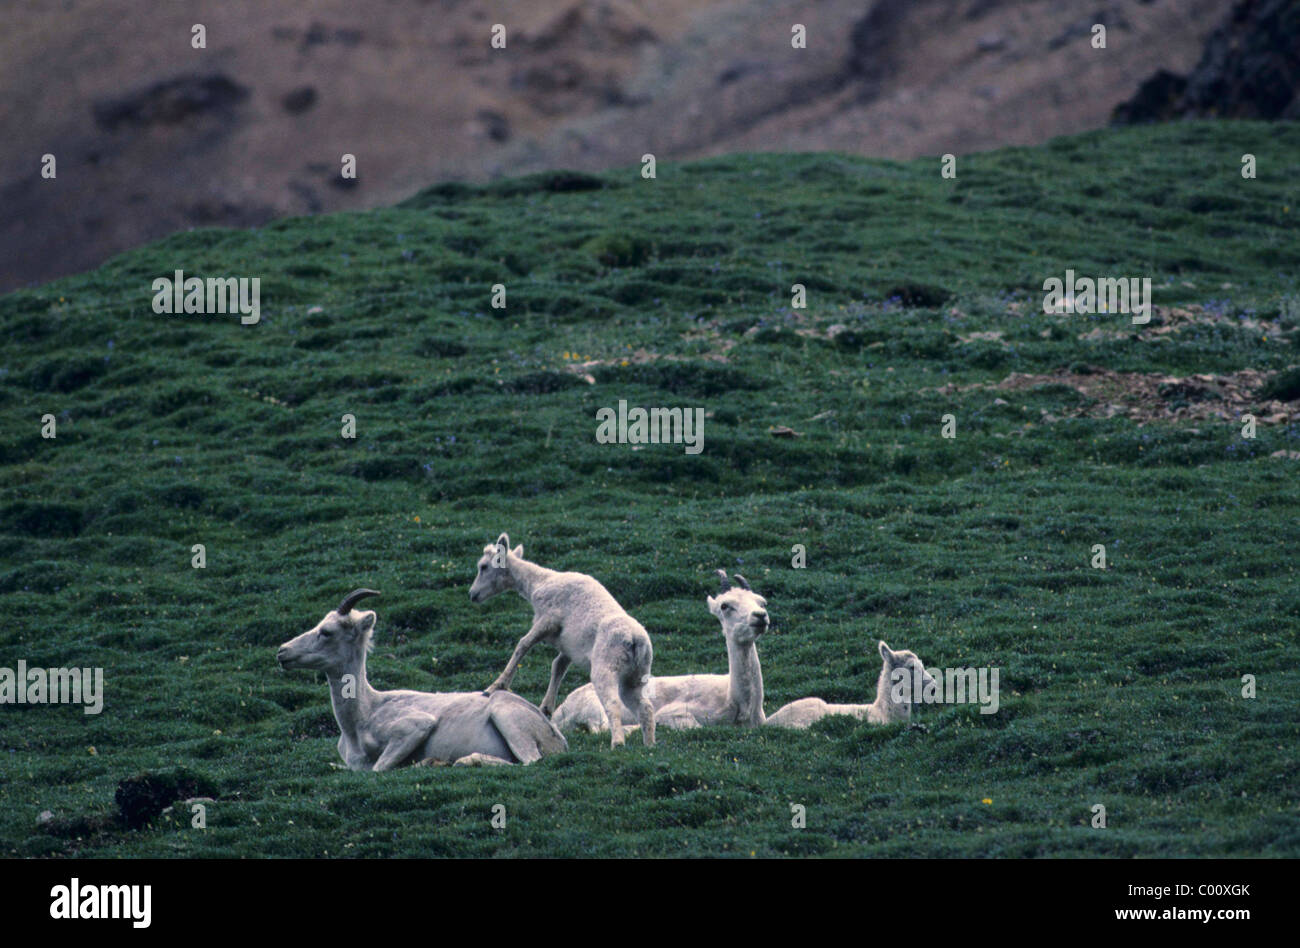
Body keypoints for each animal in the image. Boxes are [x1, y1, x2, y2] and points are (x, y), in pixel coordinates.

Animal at [276, 588, 567, 769]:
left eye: (326, 631)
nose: (282, 652)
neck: (361, 719)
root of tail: (557, 737)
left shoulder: (414, 728)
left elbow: (379, 768)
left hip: (508, 719)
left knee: (531, 761)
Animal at [471, 533, 656, 749]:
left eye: (483, 566)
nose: (472, 594)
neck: (536, 584)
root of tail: (636, 641)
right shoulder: (569, 646)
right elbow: (557, 666)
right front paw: (545, 708)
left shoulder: (548, 619)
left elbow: (523, 645)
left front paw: (495, 687)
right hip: (636, 675)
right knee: (645, 707)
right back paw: (649, 744)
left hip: (606, 666)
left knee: (613, 703)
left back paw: (617, 743)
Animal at [552, 569, 768, 732]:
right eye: (725, 605)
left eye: (761, 602)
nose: (760, 616)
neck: (736, 701)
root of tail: (558, 713)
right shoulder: (677, 712)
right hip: (595, 707)